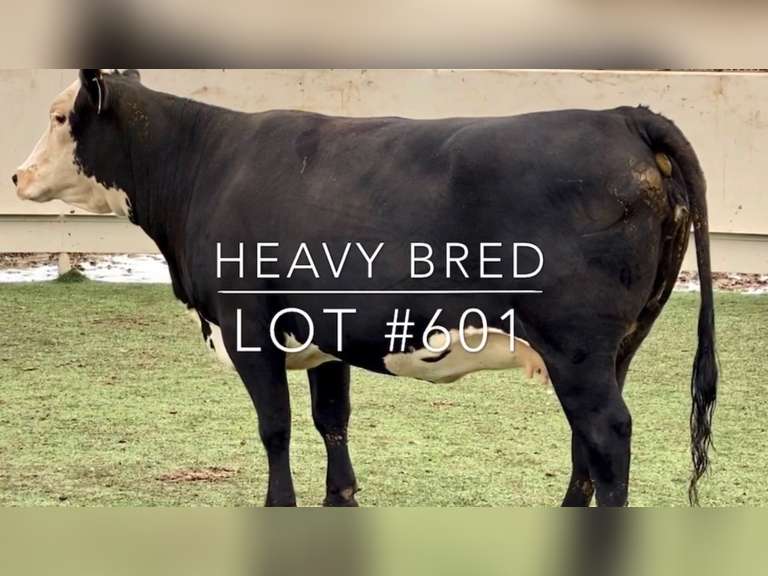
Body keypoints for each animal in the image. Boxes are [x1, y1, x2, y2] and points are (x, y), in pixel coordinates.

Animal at [14, 69, 717, 506]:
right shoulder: (323, 330)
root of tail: (623, 115)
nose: (17, 176)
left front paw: (280, 503)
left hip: (577, 349)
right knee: (587, 445)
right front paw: (340, 497)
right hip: (612, 348)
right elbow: (332, 421)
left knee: (606, 435)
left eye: (59, 116)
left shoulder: (248, 328)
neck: (205, 163)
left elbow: (275, 426)